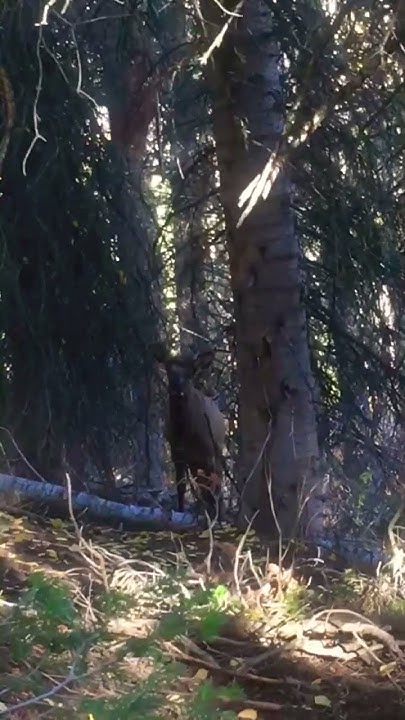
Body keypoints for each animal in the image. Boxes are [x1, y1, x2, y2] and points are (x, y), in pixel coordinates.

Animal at [153, 342, 226, 521]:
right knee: (203, 484)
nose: (177, 389)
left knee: (216, 484)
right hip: (195, 462)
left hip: (217, 452)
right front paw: (180, 511)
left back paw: (217, 513)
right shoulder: (177, 453)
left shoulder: (209, 454)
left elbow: (212, 488)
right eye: (168, 369)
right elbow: (181, 486)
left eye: (190, 372)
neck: (185, 432)